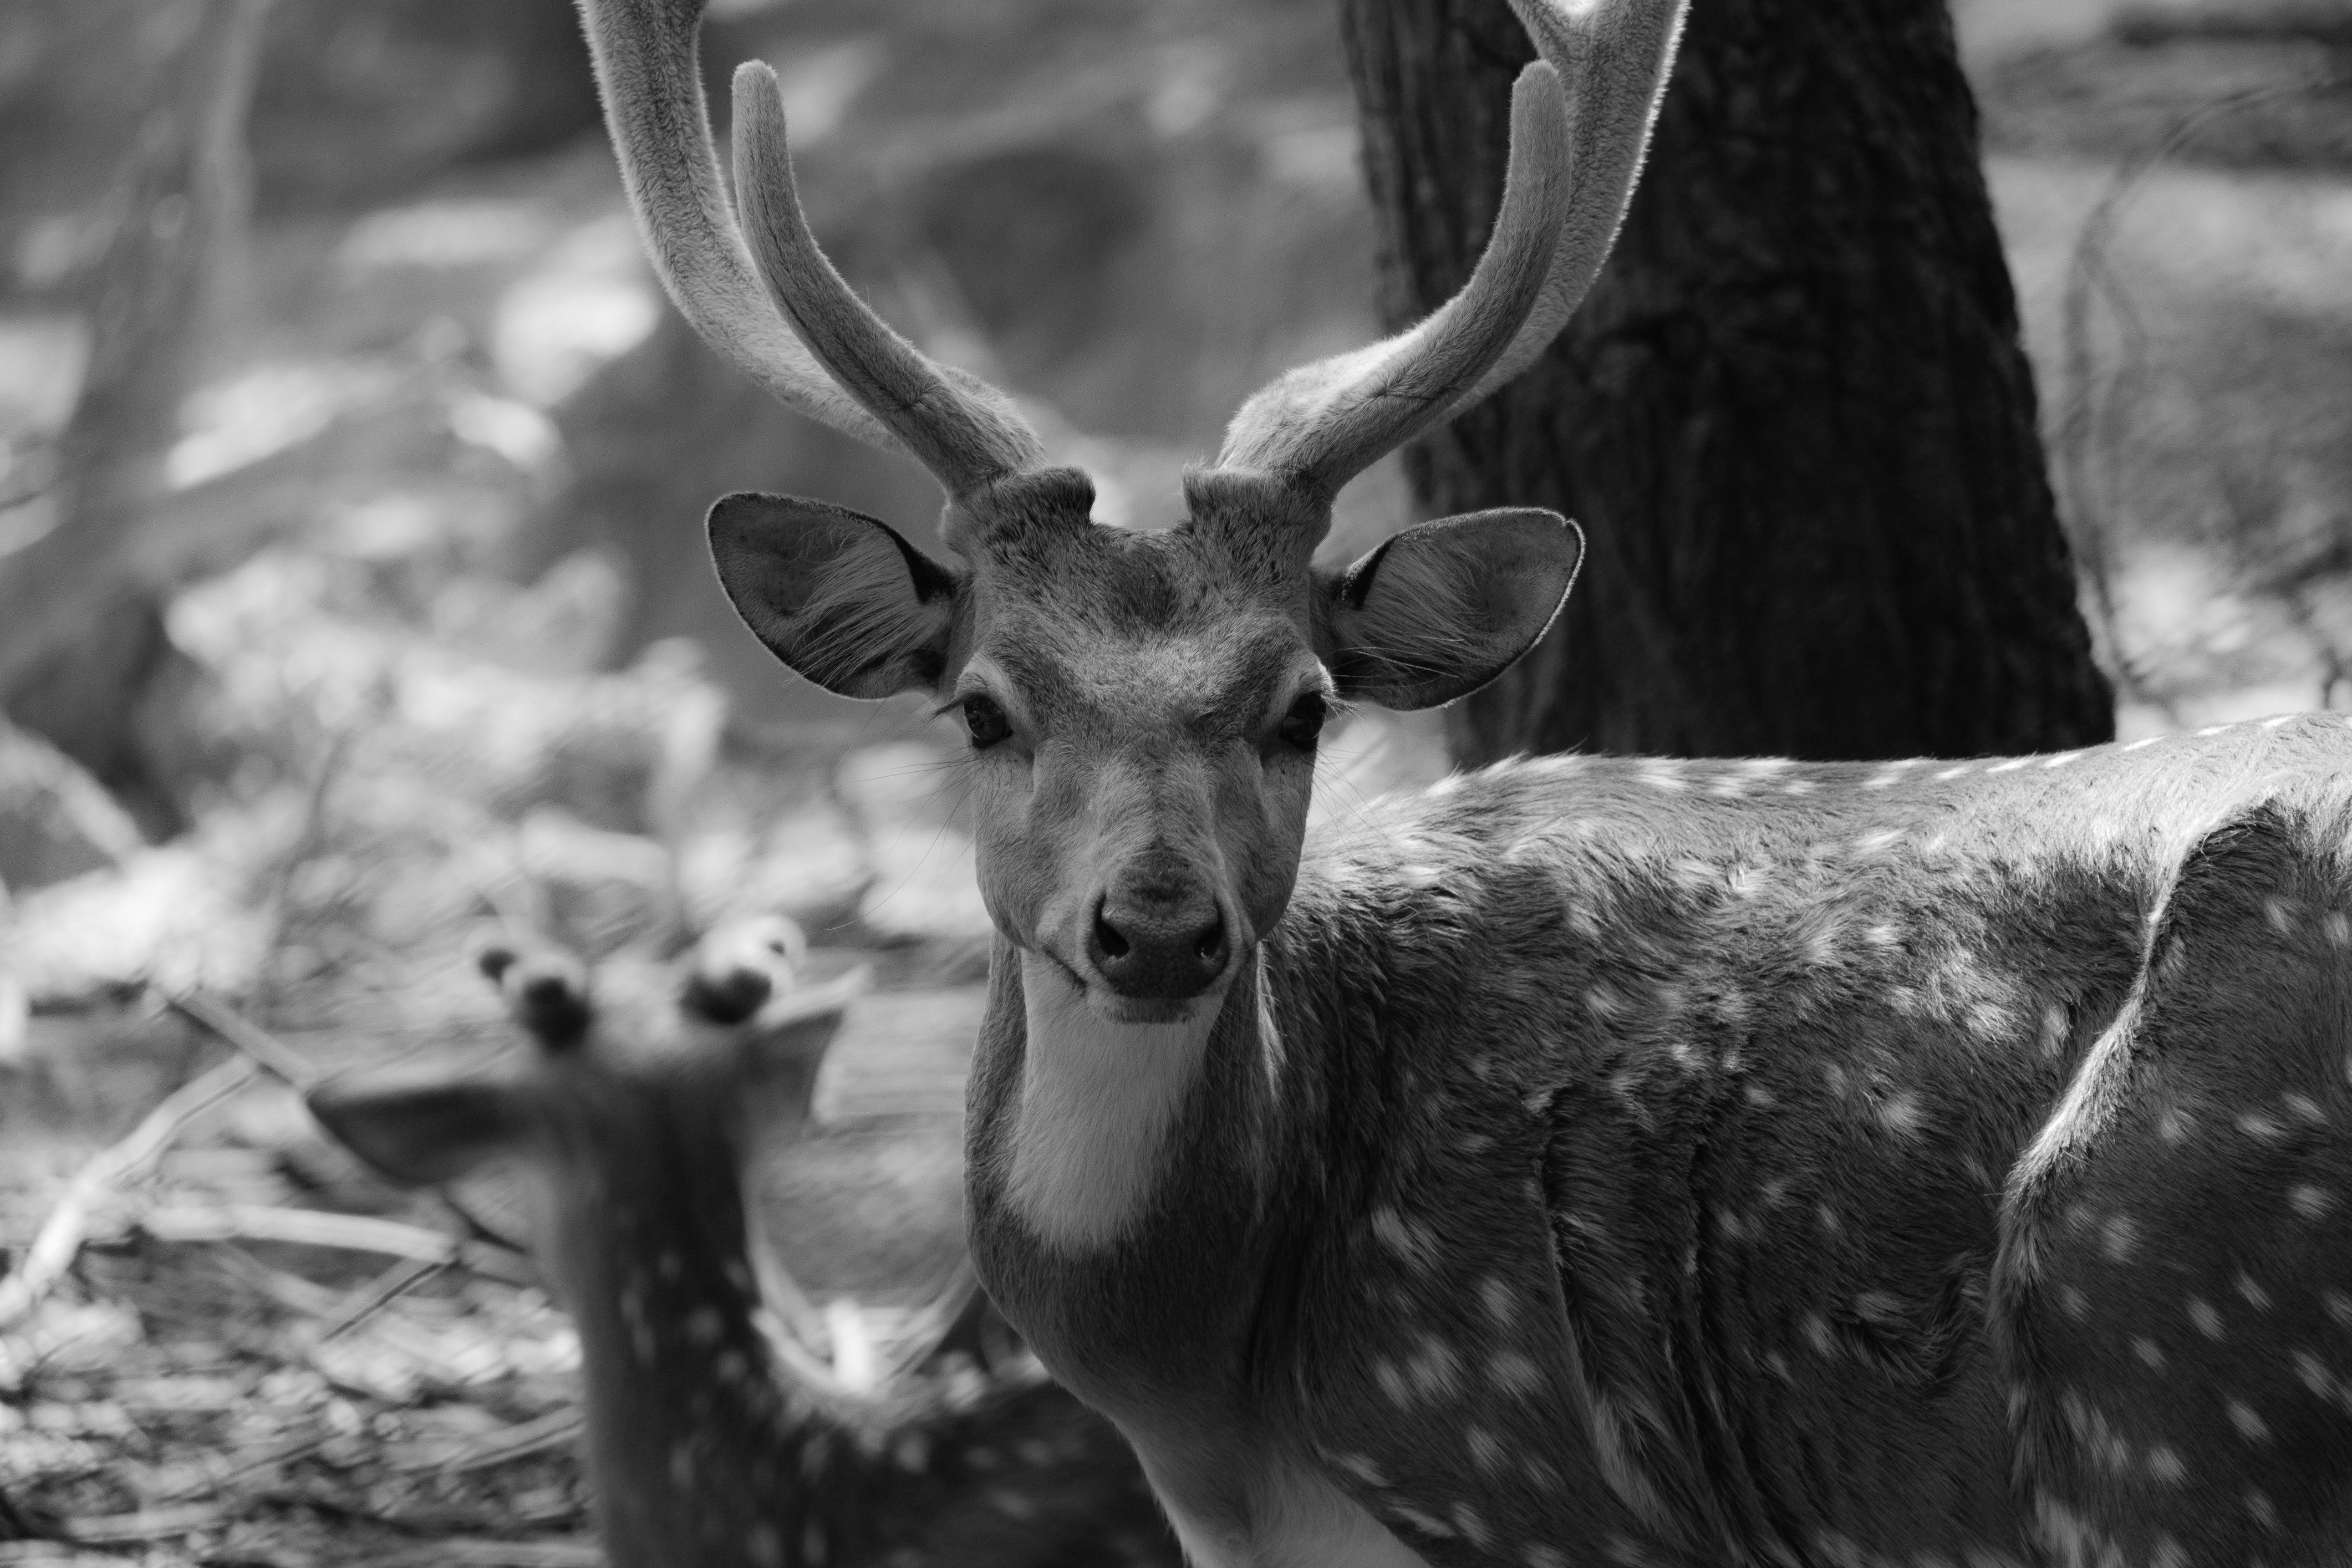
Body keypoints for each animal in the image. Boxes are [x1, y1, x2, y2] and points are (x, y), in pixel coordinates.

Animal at [575, 0, 2352, 1562]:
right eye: (983, 711)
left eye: (1303, 707)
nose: (1157, 928)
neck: (1221, 1412)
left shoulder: (1545, 1494)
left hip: (2162, 1342)